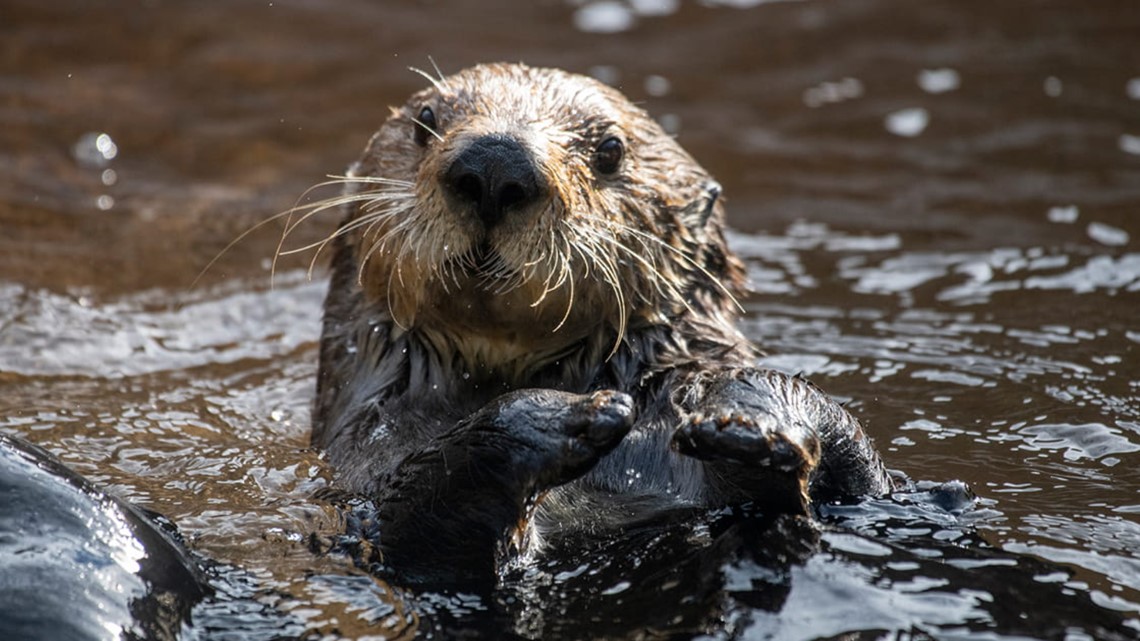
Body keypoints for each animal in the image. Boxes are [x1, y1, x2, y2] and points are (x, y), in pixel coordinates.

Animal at [308, 63, 891, 583]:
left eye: (610, 150)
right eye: (424, 121)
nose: (496, 163)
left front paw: (752, 421)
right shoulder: (367, 484)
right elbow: (418, 517)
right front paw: (568, 416)